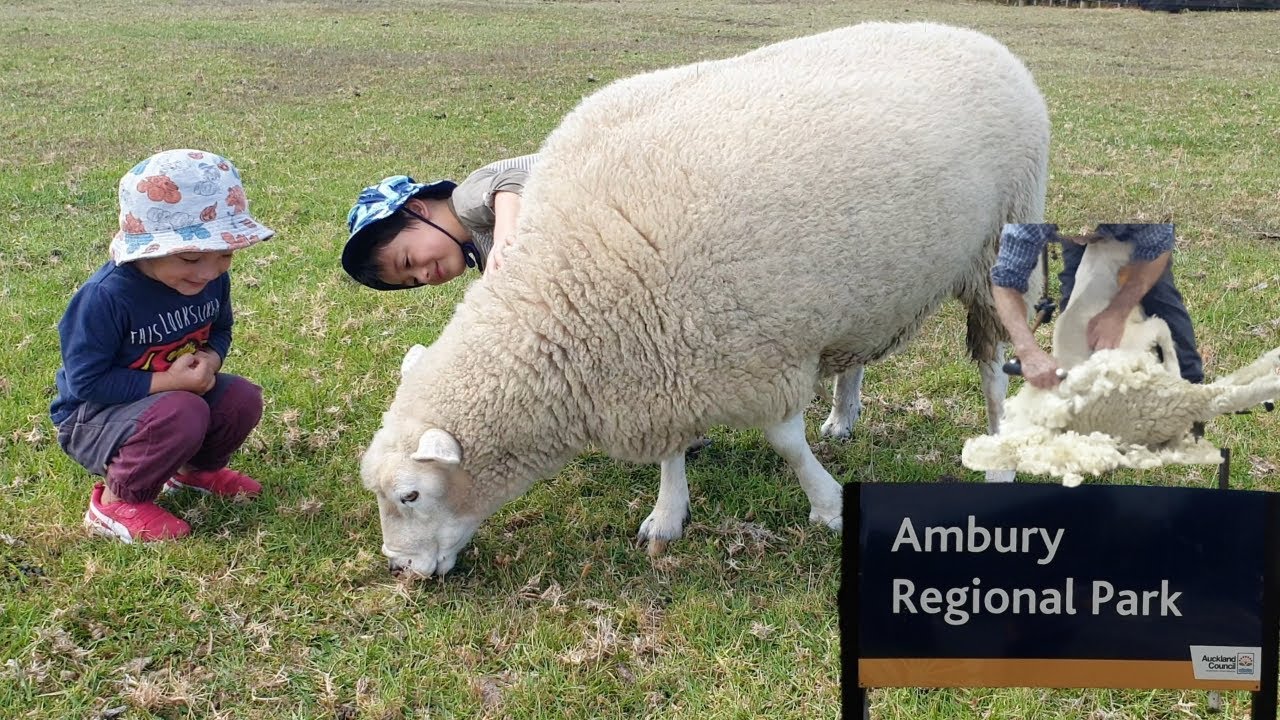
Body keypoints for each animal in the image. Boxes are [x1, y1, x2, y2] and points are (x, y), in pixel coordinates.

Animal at [360, 22, 1051, 576]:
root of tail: (975, 36)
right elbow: (673, 453)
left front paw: (827, 506)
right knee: (856, 352)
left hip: (998, 244)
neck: (566, 291)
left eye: (411, 496)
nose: (399, 569)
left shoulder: (756, 350)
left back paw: (999, 457)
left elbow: (786, 443)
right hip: (861, 287)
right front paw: (668, 514)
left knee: (993, 367)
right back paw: (844, 414)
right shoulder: (666, 354)